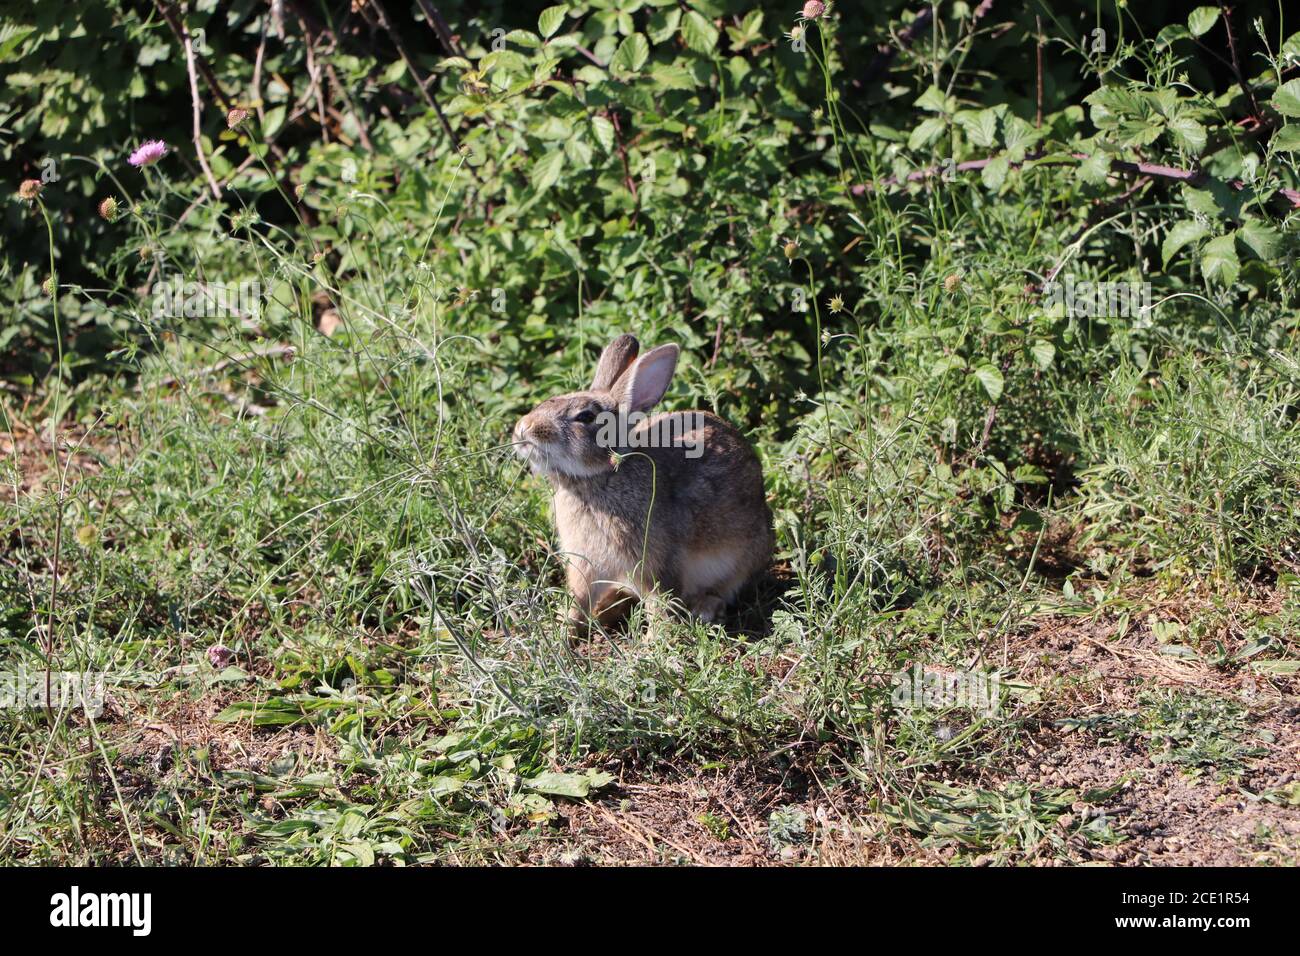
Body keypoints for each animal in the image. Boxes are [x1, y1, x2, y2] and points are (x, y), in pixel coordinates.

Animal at [513, 333, 773, 632]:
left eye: (586, 417)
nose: (523, 429)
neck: (599, 478)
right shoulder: (586, 566)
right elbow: (577, 601)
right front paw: (561, 630)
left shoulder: (654, 565)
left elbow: (659, 606)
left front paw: (655, 640)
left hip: (742, 556)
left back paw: (705, 608)